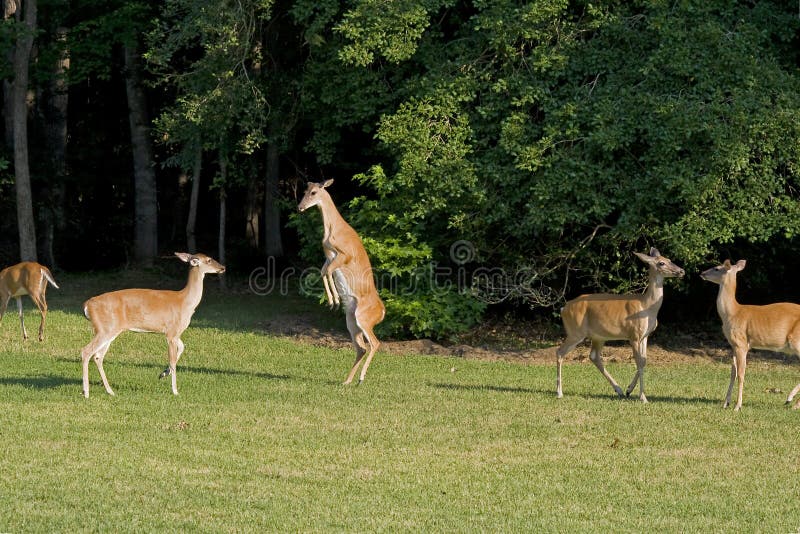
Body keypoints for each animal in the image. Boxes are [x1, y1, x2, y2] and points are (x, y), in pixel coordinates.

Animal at [80, 252, 225, 398]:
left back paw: (110, 391)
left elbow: (182, 348)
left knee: (98, 356)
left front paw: (163, 374)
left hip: (110, 330)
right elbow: (173, 361)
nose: (223, 267)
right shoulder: (171, 332)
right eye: (209, 260)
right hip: (105, 328)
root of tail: (87, 305)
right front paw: (175, 391)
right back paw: (86, 392)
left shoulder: (175, 333)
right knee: (86, 351)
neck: (185, 302)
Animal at [298, 179, 386, 385]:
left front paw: (336, 300)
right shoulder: (328, 257)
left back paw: (360, 378)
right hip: (352, 321)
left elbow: (328, 272)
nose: (300, 207)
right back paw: (347, 381)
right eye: (305, 190)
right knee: (361, 347)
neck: (332, 229)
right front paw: (332, 301)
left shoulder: (344, 255)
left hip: (364, 318)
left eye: (314, 192)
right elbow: (323, 272)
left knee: (375, 343)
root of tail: (382, 313)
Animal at [556, 248, 685, 402]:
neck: (646, 306)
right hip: (575, 331)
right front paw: (643, 397)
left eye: (669, 259)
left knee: (593, 356)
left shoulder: (645, 335)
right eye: (661, 263)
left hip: (598, 336)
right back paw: (559, 392)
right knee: (560, 352)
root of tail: (563, 308)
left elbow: (644, 360)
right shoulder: (633, 334)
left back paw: (619, 390)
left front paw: (630, 389)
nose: (682, 271)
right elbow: (639, 361)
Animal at [701, 259, 800, 411]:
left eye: (716, 268)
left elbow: (741, 374)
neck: (733, 313)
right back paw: (791, 401)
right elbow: (733, 373)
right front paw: (725, 403)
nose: (702, 273)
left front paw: (737, 406)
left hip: (796, 340)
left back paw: (791, 400)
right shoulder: (733, 345)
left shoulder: (741, 343)